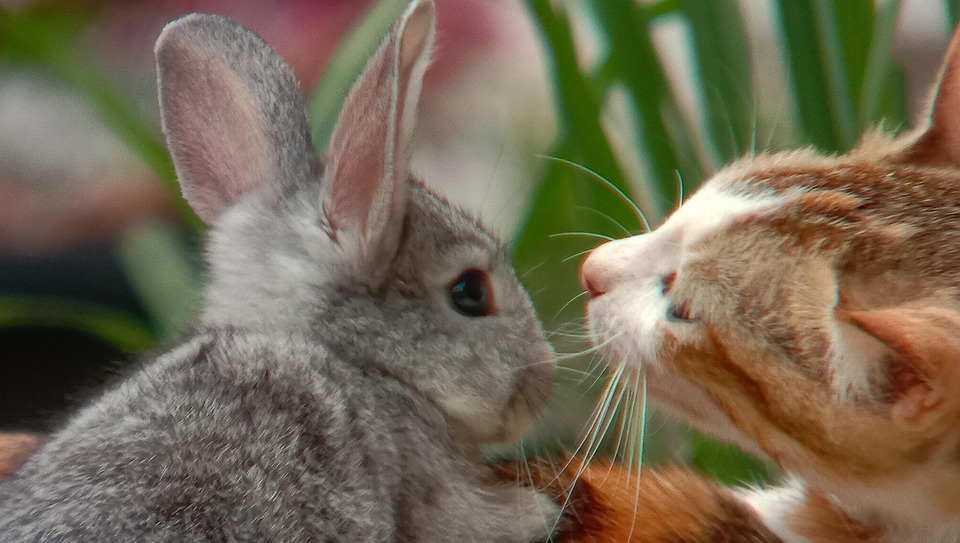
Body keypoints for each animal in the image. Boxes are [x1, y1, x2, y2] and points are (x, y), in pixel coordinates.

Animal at [0, 1, 559, 541]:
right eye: (470, 292)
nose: (542, 383)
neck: (358, 363)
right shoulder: (424, 476)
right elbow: (467, 519)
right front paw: (539, 512)